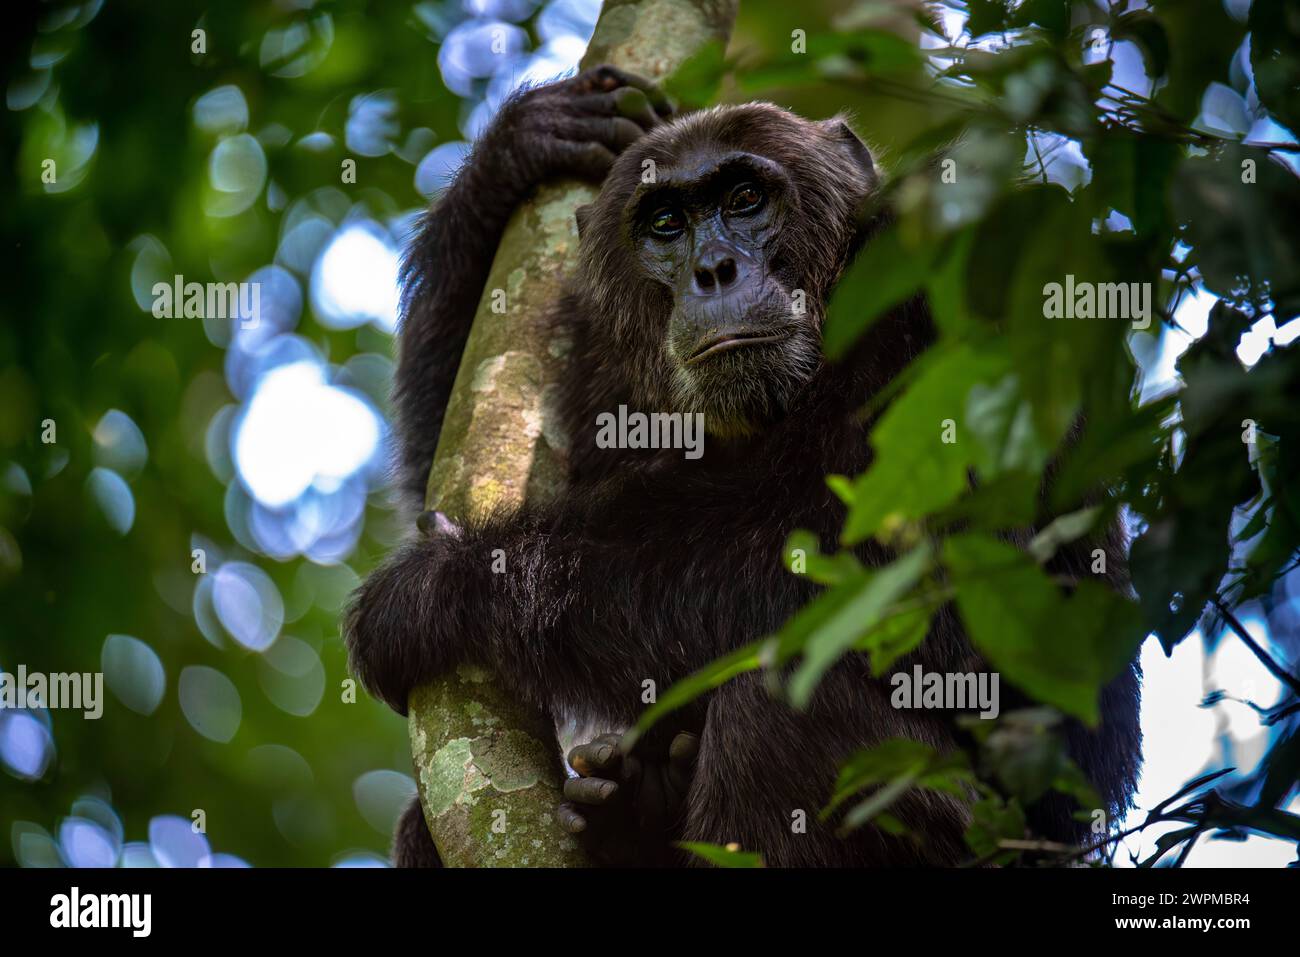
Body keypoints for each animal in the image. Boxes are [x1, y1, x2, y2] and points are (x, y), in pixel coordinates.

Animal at [346, 65, 1142, 867]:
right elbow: (455, 439)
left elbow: (918, 581)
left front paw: (453, 582)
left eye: (745, 199)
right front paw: (524, 145)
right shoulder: (594, 353)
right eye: (666, 224)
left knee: (779, 702)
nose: (714, 269)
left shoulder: (951, 288)